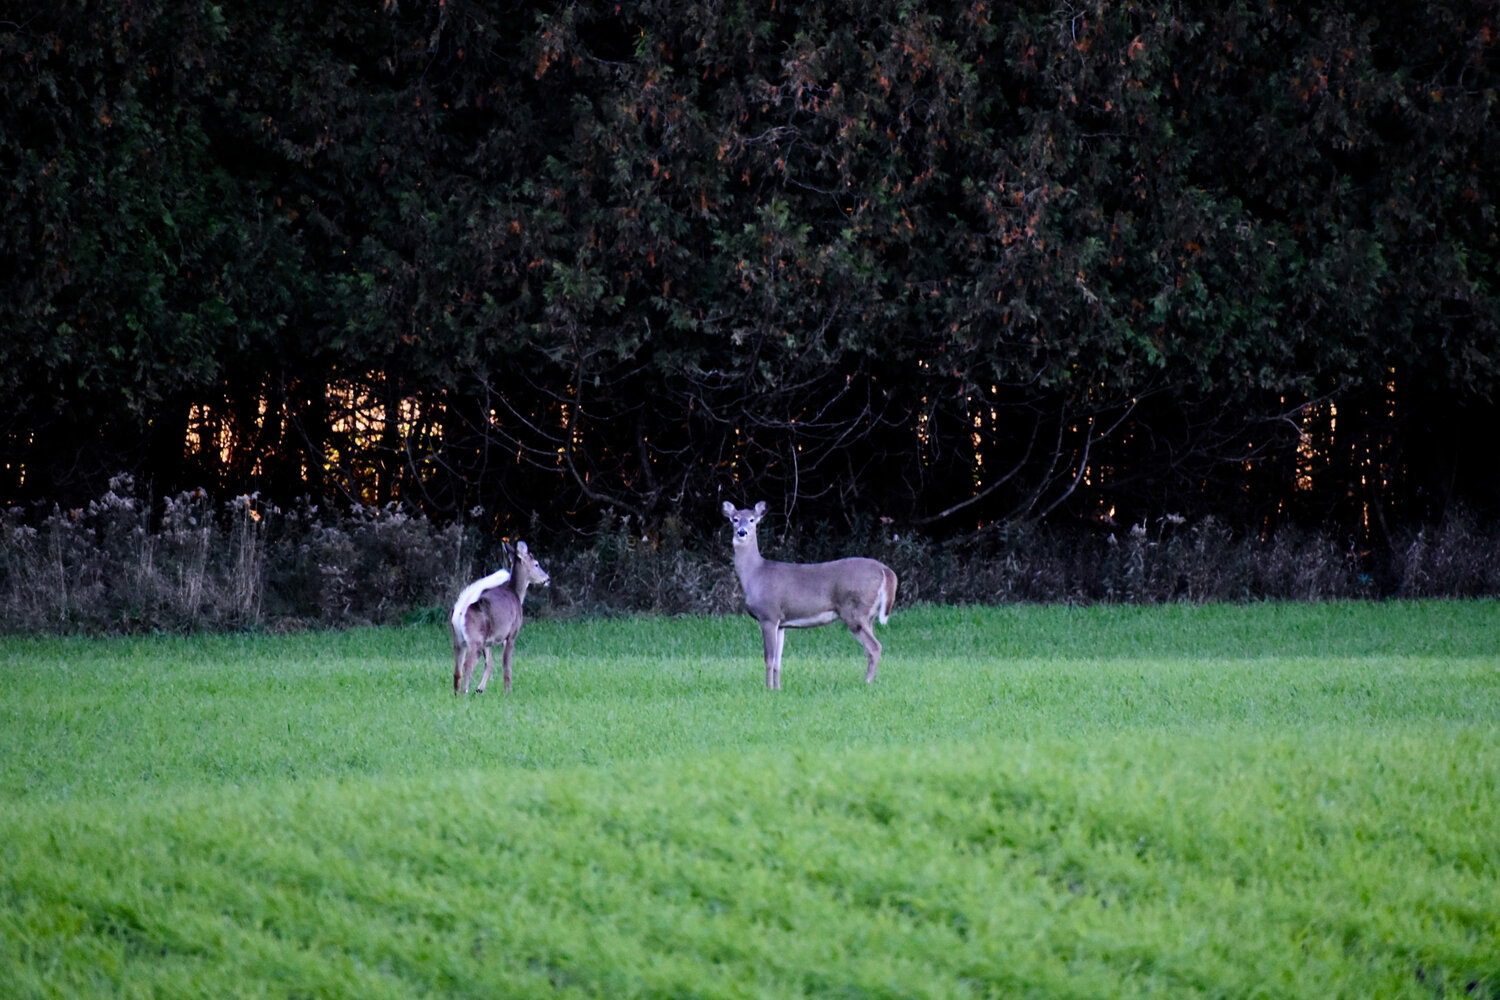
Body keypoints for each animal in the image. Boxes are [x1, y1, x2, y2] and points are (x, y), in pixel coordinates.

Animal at [450, 540, 551, 695]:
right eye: (536, 564)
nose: (547, 579)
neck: (516, 594)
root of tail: (462, 609)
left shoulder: (489, 641)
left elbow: (490, 664)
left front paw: (480, 689)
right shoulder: (512, 634)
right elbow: (506, 665)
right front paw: (508, 692)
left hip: (459, 640)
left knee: (457, 670)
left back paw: (457, 695)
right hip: (475, 640)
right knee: (468, 665)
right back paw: (464, 694)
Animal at [722, 501, 898, 690]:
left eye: (752, 519)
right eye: (735, 519)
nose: (742, 532)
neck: (755, 574)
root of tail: (885, 570)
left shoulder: (768, 614)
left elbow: (768, 659)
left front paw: (768, 689)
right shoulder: (781, 623)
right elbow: (778, 661)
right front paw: (778, 689)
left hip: (854, 611)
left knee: (875, 647)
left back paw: (867, 683)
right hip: (868, 615)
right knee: (871, 647)